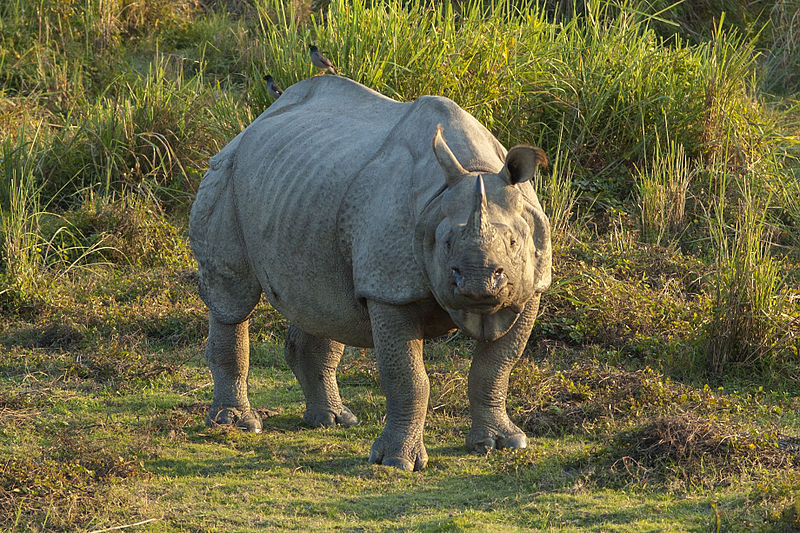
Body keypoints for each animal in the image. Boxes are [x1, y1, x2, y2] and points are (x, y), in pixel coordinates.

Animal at [189, 76, 551, 471]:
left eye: (514, 242)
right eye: (445, 243)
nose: (478, 282)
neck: (474, 168)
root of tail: (252, 124)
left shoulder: (531, 288)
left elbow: (495, 367)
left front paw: (504, 443)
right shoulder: (388, 289)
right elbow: (407, 376)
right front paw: (396, 462)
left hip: (304, 186)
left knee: (325, 303)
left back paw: (334, 421)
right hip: (226, 171)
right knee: (232, 298)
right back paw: (238, 424)